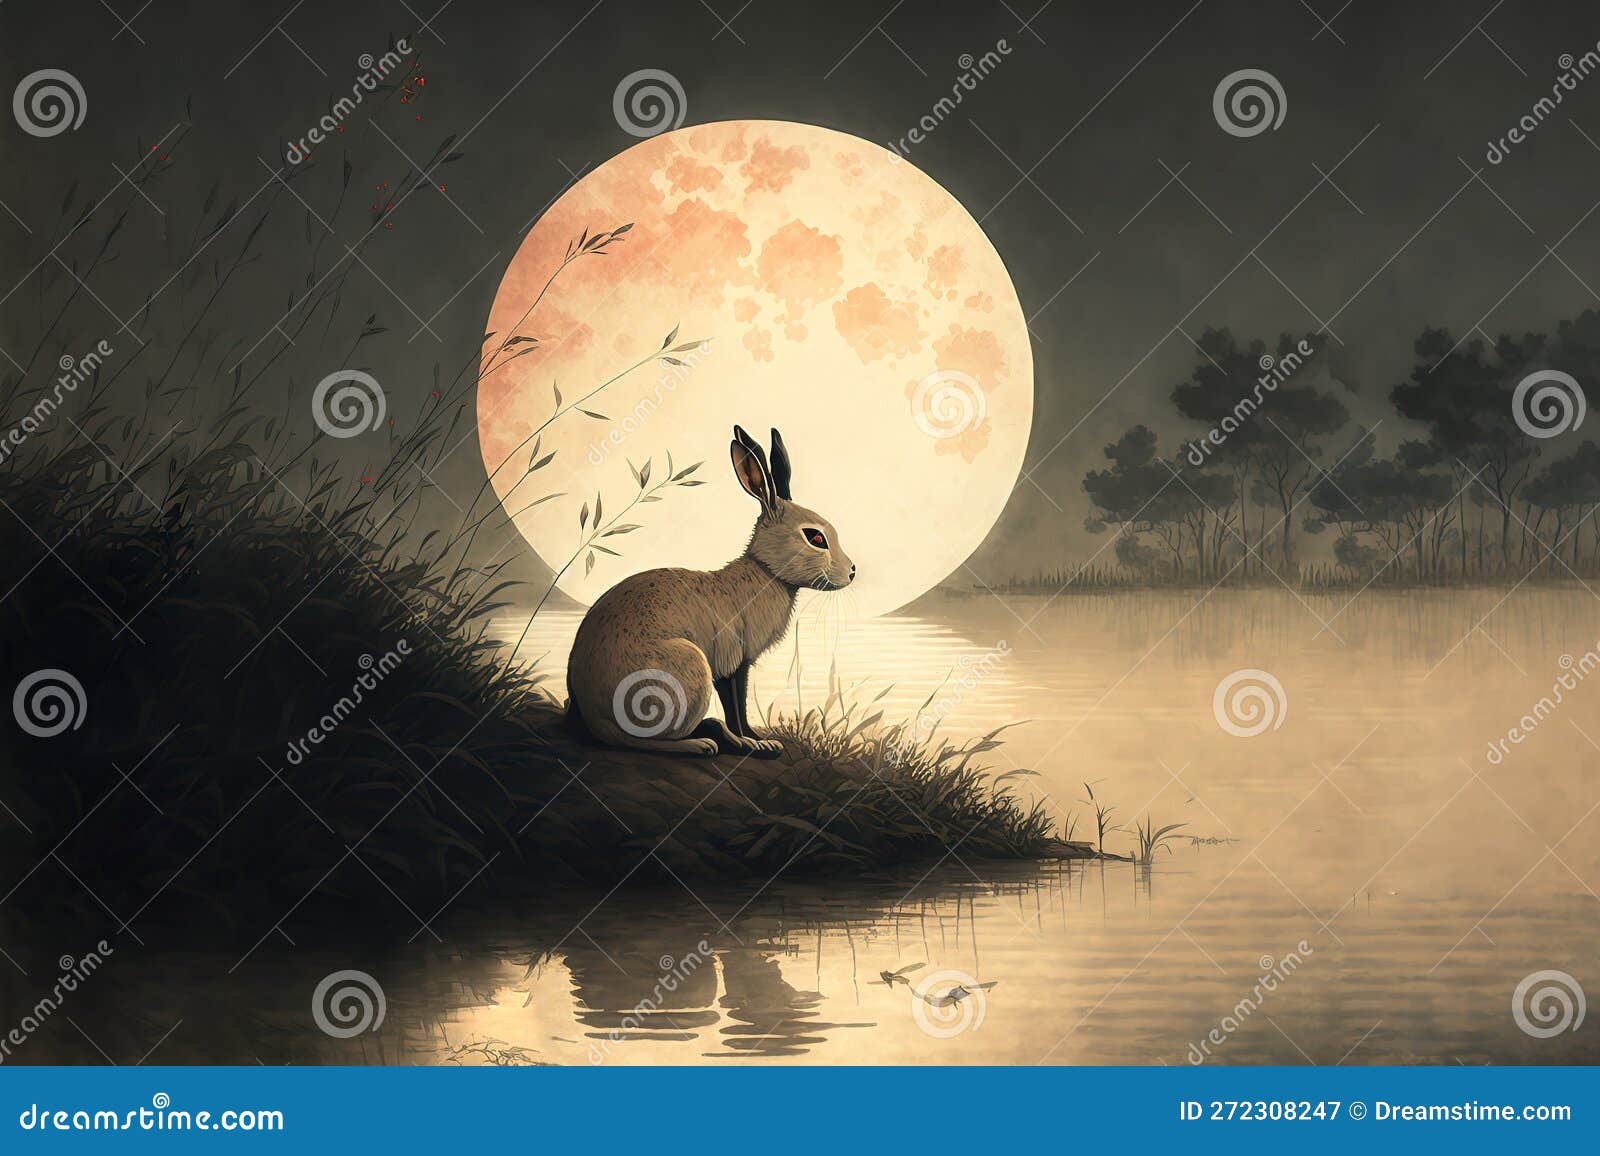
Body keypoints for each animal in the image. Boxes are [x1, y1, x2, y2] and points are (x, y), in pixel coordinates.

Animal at [566, 425, 855, 757]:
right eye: (815, 537)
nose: (852, 571)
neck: (765, 570)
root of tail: (595, 715)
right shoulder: (732, 663)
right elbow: (736, 706)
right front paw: (757, 743)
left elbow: (738, 708)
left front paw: (757, 738)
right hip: (685, 675)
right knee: (649, 739)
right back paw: (706, 744)